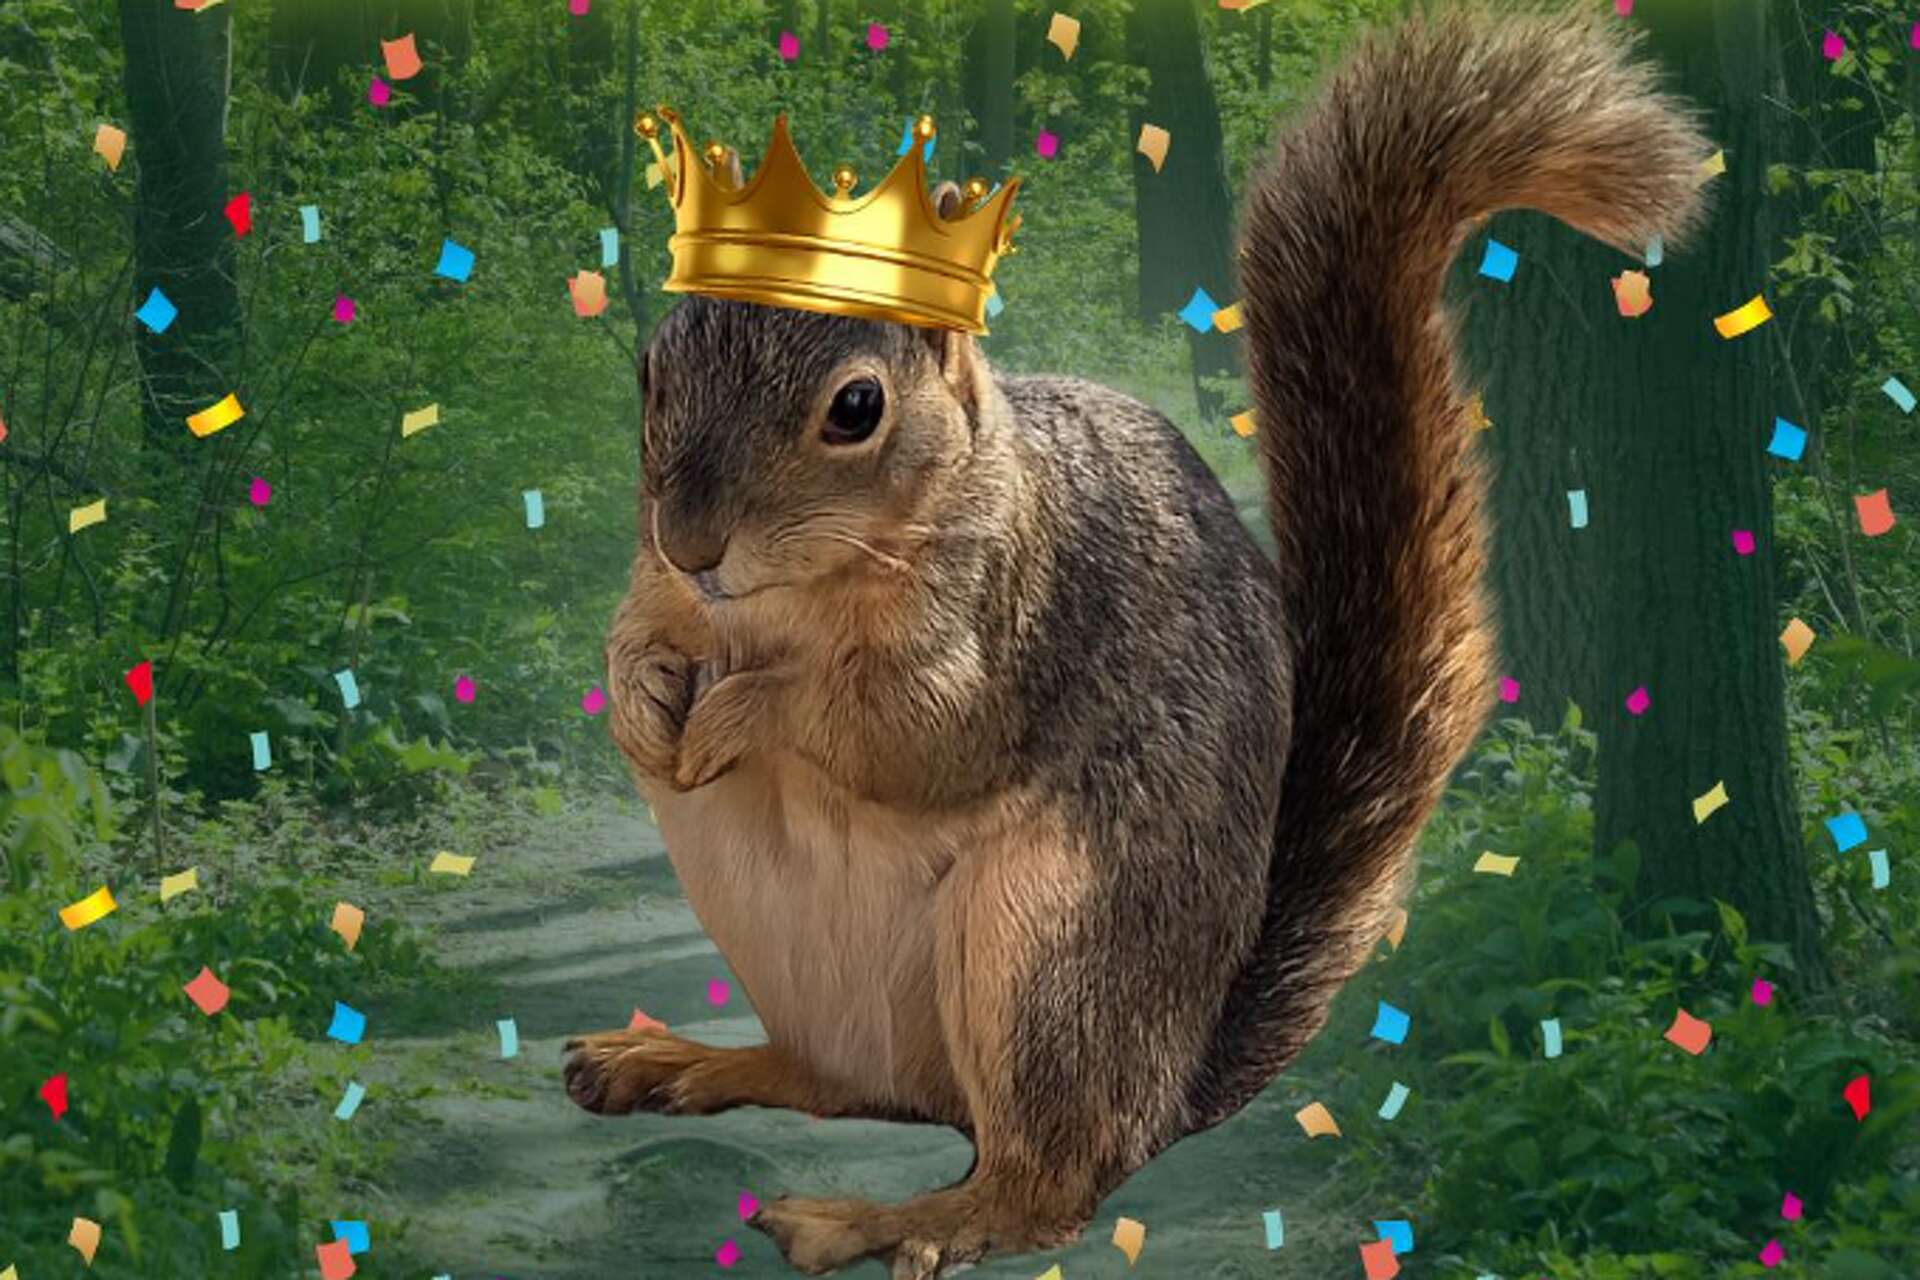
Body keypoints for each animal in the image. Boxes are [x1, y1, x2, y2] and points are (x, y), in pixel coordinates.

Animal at [564, 6, 1709, 1277]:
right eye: (650, 368)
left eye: (855, 409)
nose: (690, 539)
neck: (779, 601)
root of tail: (1176, 1073)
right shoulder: (660, 590)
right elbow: (631, 634)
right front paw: (642, 705)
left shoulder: (1009, 626)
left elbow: (898, 729)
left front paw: (736, 709)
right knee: (845, 1079)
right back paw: (675, 1057)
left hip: (1048, 953)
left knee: (1042, 1181)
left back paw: (888, 1217)